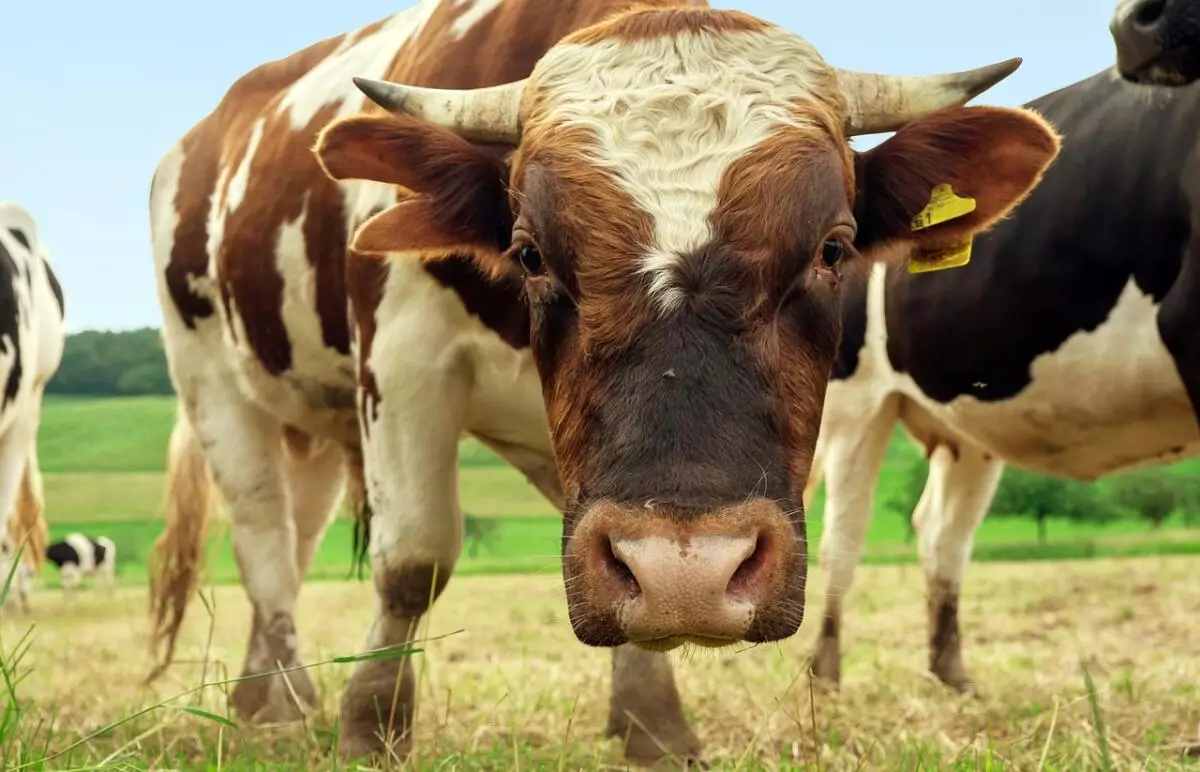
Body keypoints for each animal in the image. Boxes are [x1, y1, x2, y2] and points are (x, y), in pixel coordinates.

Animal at [142, 0, 1060, 763]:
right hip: (213, 382)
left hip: (311, 428)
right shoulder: (404, 360)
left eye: (834, 248)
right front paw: (372, 727)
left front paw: (652, 724)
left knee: (295, 538)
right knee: (262, 536)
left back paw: (261, 699)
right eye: (529, 251)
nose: (691, 576)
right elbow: (413, 560)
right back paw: (291, 700)